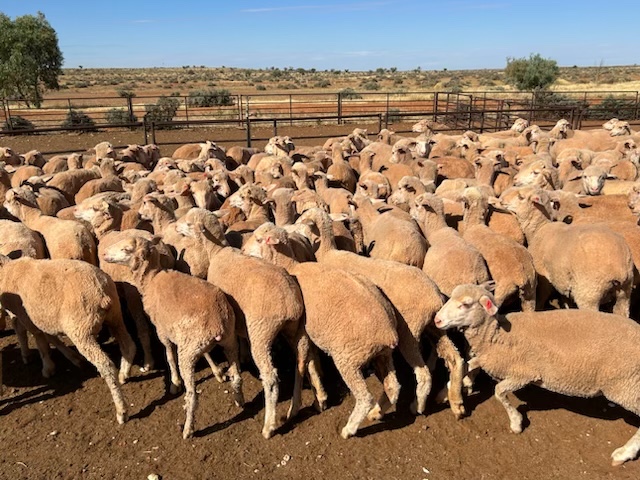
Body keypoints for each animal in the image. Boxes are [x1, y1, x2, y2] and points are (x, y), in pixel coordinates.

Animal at [0, 255, 136, 424]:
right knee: (129, 346)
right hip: (115, 317)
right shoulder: (44, 319)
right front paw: (73, 358)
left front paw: (46, 367)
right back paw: (124, 374)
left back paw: (121, 410)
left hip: (81, 330)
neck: (7, 271)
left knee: (106, 365)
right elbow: (51, 338)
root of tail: (102, 292)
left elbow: (37, 341)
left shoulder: (28, 318)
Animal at [102, 235, 244, 438]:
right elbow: (207, 354)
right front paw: (217, 371)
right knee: (238, 377)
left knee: (193, 395)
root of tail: (219, 322)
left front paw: (175, 382)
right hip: (228, 342)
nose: (104, 253)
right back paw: (240, 400)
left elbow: (169, 356)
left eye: (126, 249)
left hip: (188, 353)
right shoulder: (192, 340)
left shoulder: (163, 331)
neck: (151, 279)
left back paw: (188, 429)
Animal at [435, 282, 640, 466]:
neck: (497, 335)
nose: (436, 320)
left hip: (626, 386)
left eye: (466, 304)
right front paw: (447, 394)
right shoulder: (491, 359)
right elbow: (466, 366)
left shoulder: (523, 374)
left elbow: (499, 392)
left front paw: (516, 423)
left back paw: (624, 453)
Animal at [498, 186, 634, 314]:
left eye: (521, 197)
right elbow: (567, 302)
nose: (501, 200)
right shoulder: (564, 284)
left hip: (589, 292)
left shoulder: (544, 278)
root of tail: (619, 268)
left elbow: (540, 301)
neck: (539, 229)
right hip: (624, 293)